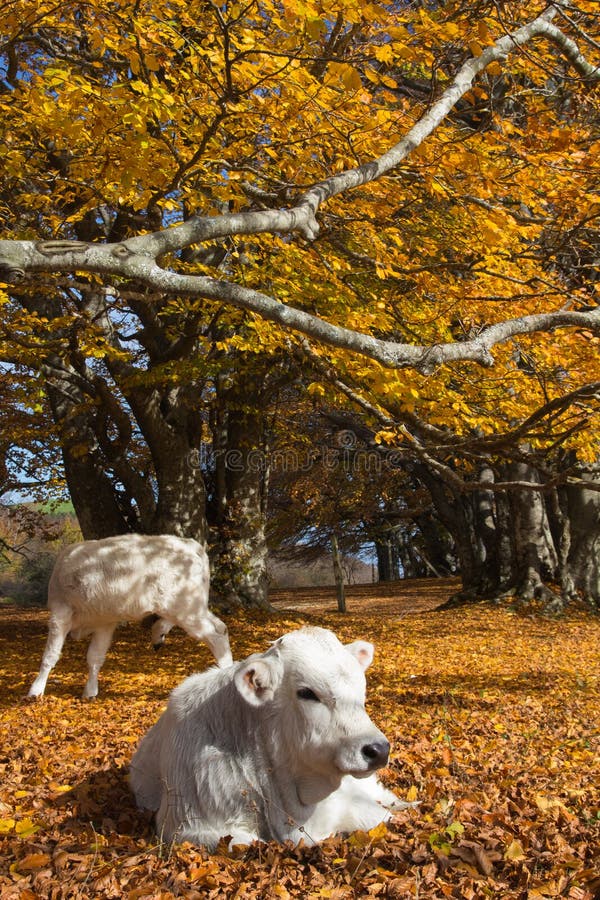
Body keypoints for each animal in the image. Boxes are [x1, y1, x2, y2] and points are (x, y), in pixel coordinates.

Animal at [28, 534, 233, 699]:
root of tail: (190, 544)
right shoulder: (104, 622)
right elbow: (95, 657)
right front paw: (90, 691)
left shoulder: (60, 612)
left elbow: (50, 654)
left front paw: (35, 690)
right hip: (191, 606)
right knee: (220, 626)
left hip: (185, 608)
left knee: (215, 634)